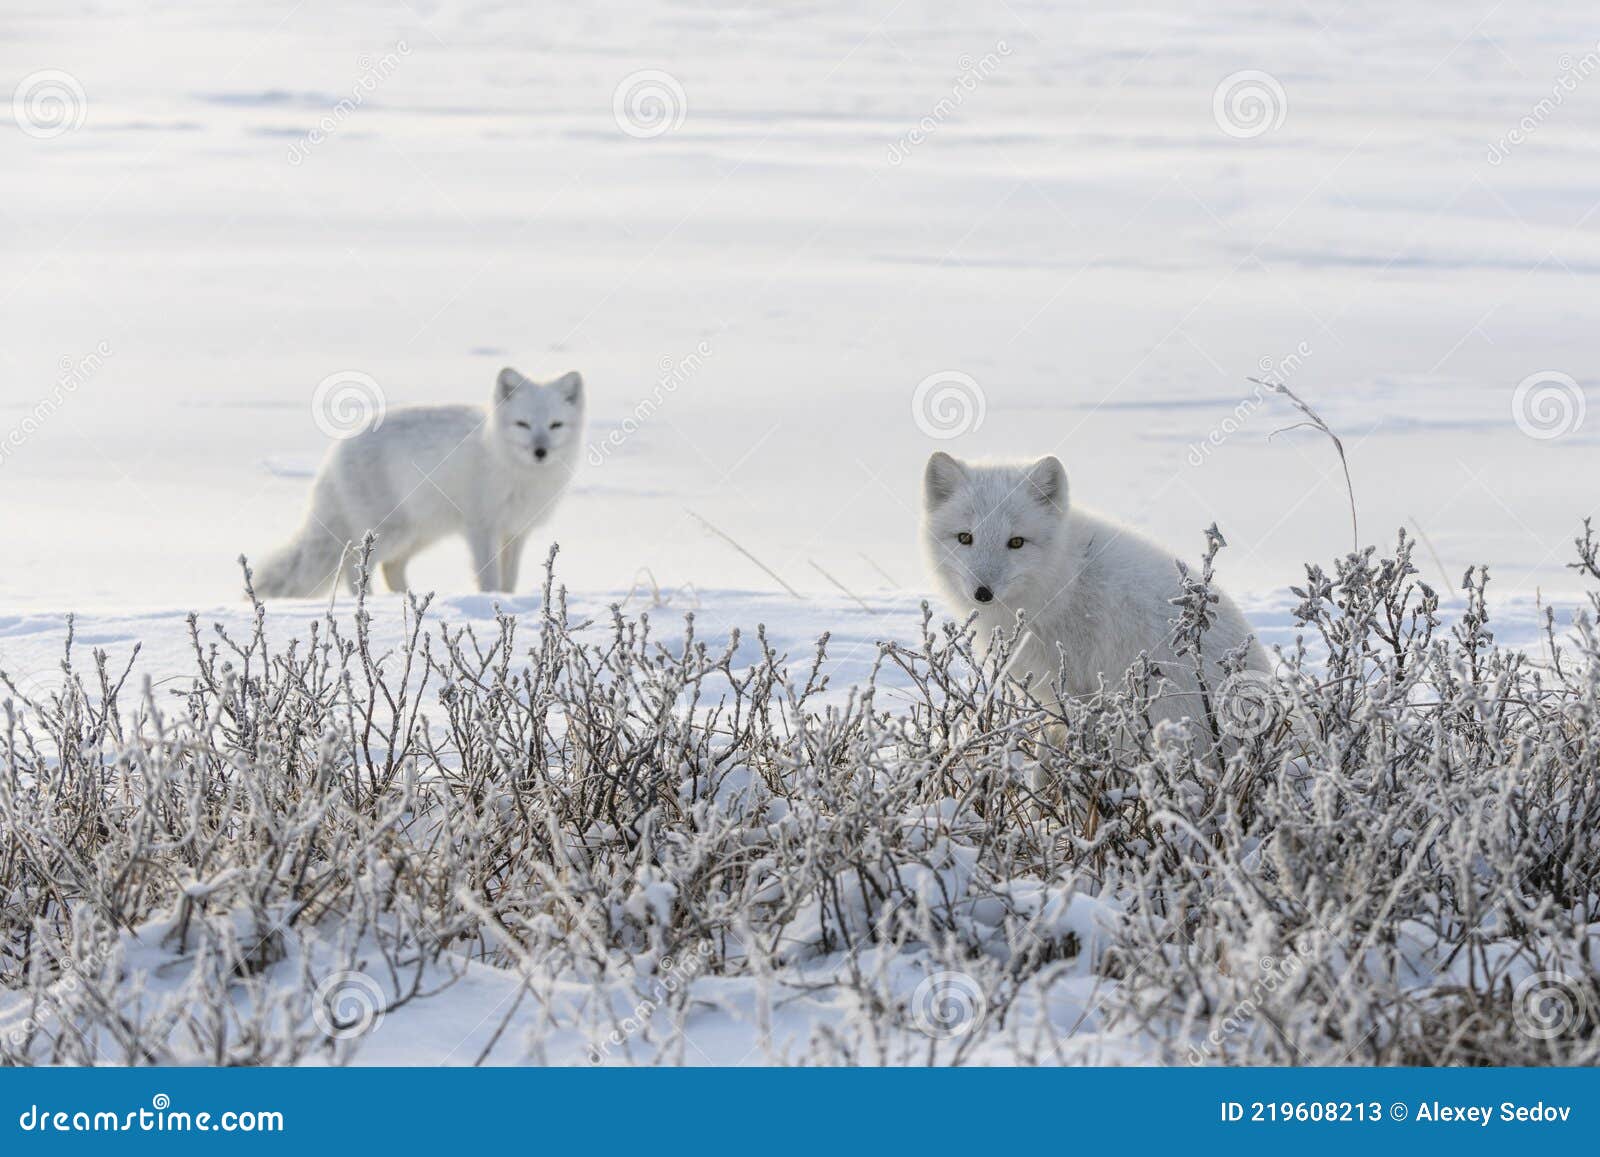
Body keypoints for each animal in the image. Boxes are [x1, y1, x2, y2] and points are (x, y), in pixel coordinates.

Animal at [251, 367, 585, 597]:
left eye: (555, 425)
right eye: (523, 424)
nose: (540, 451)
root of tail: (335, 452)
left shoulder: (516, 531)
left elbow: (510, 580)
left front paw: (508, 601)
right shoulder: (482, 527)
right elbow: (489, 577)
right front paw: (491, 602)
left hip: (421, 532)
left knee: (389, 568)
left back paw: (405, 599)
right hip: (391, 531)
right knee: (353, 564)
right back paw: (369, 604)